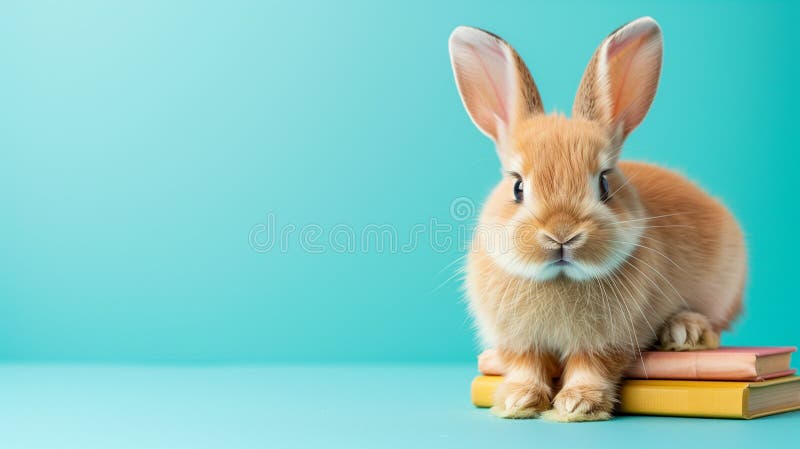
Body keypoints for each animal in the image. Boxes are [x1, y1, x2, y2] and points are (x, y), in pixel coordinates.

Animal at [448, 17, 746, 422]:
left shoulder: (609, 340)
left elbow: (591, 367)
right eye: (517, 187)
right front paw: (517, 401)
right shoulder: (520, 342)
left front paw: (577, 405)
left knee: (716, 325)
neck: (560, 280)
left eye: (604, 182)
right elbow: (526, 367)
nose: (561, 235)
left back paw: (685, 332)